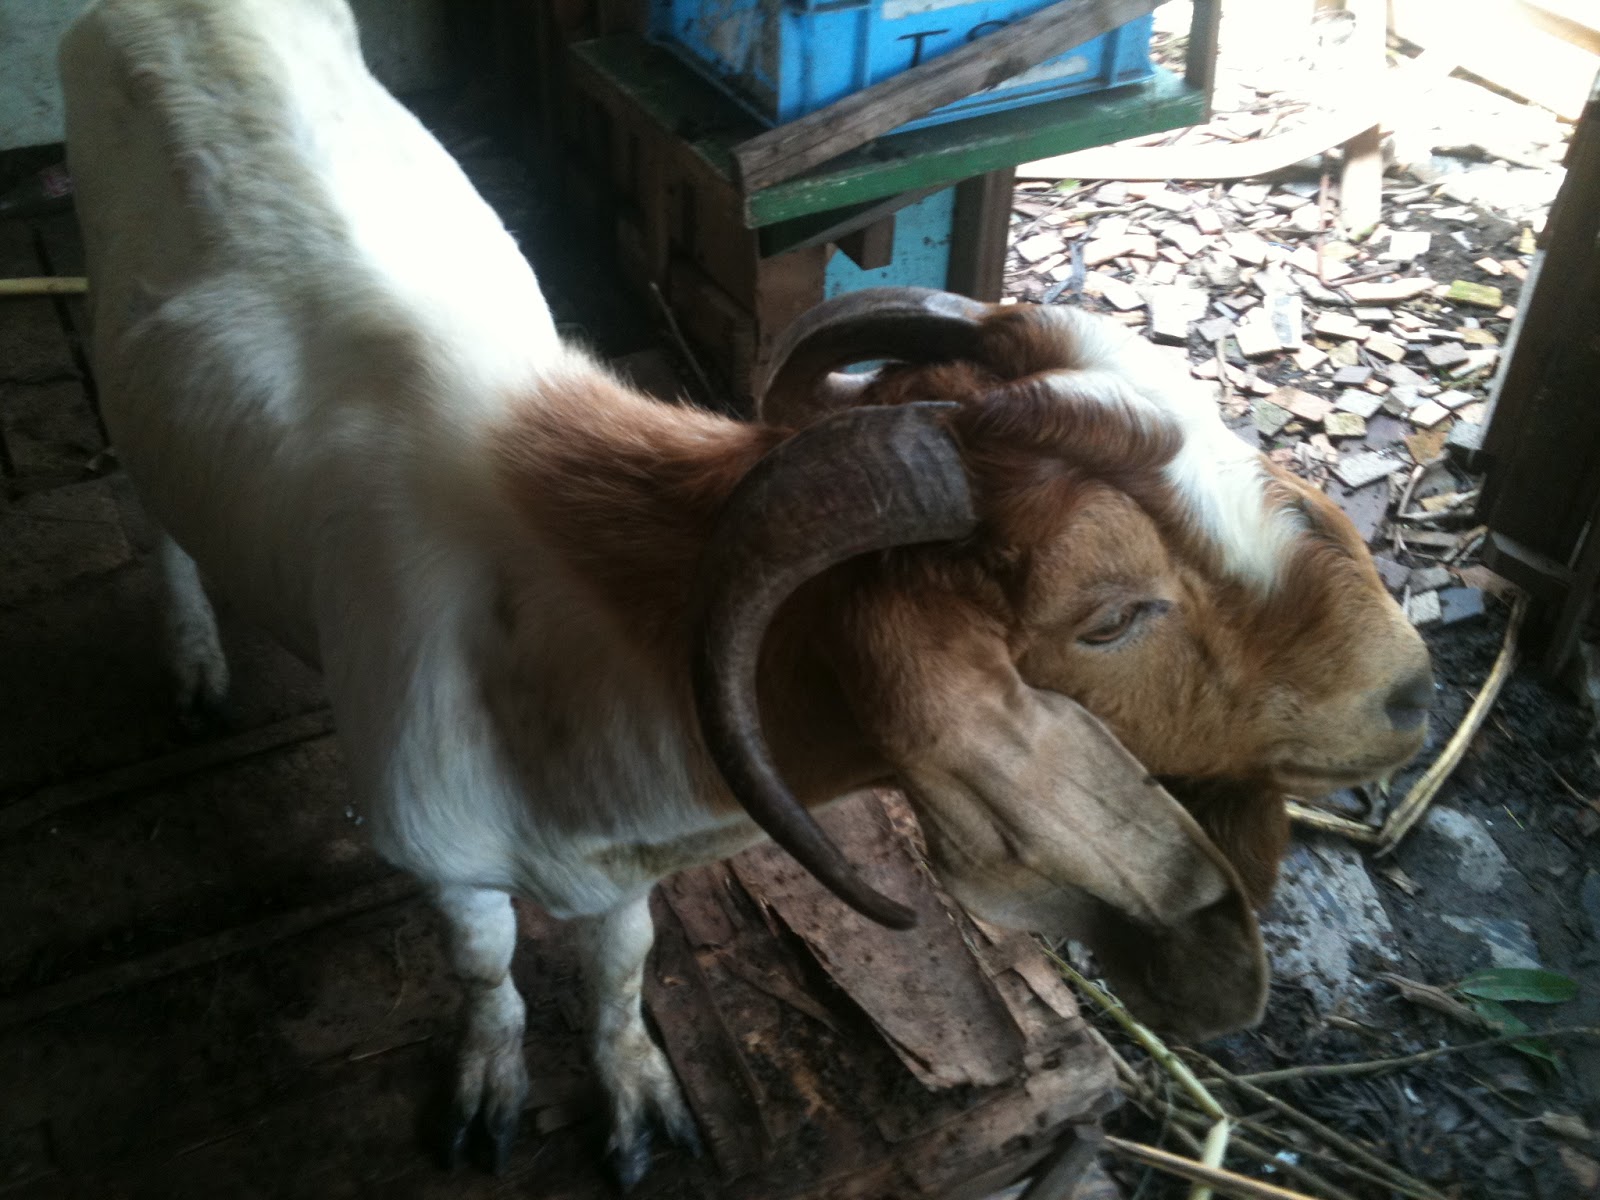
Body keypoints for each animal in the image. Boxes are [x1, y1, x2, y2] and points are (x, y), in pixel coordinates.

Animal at [60, 0, 1433, 1184]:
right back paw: (192, 661)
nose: (1411, 696)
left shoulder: (622, 865)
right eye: (1114, 615)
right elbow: (486, 964)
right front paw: (490, 1087)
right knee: (146, 500)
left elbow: (622, 964)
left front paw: (634, 1095)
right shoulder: (437, 851)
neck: (566, 617)